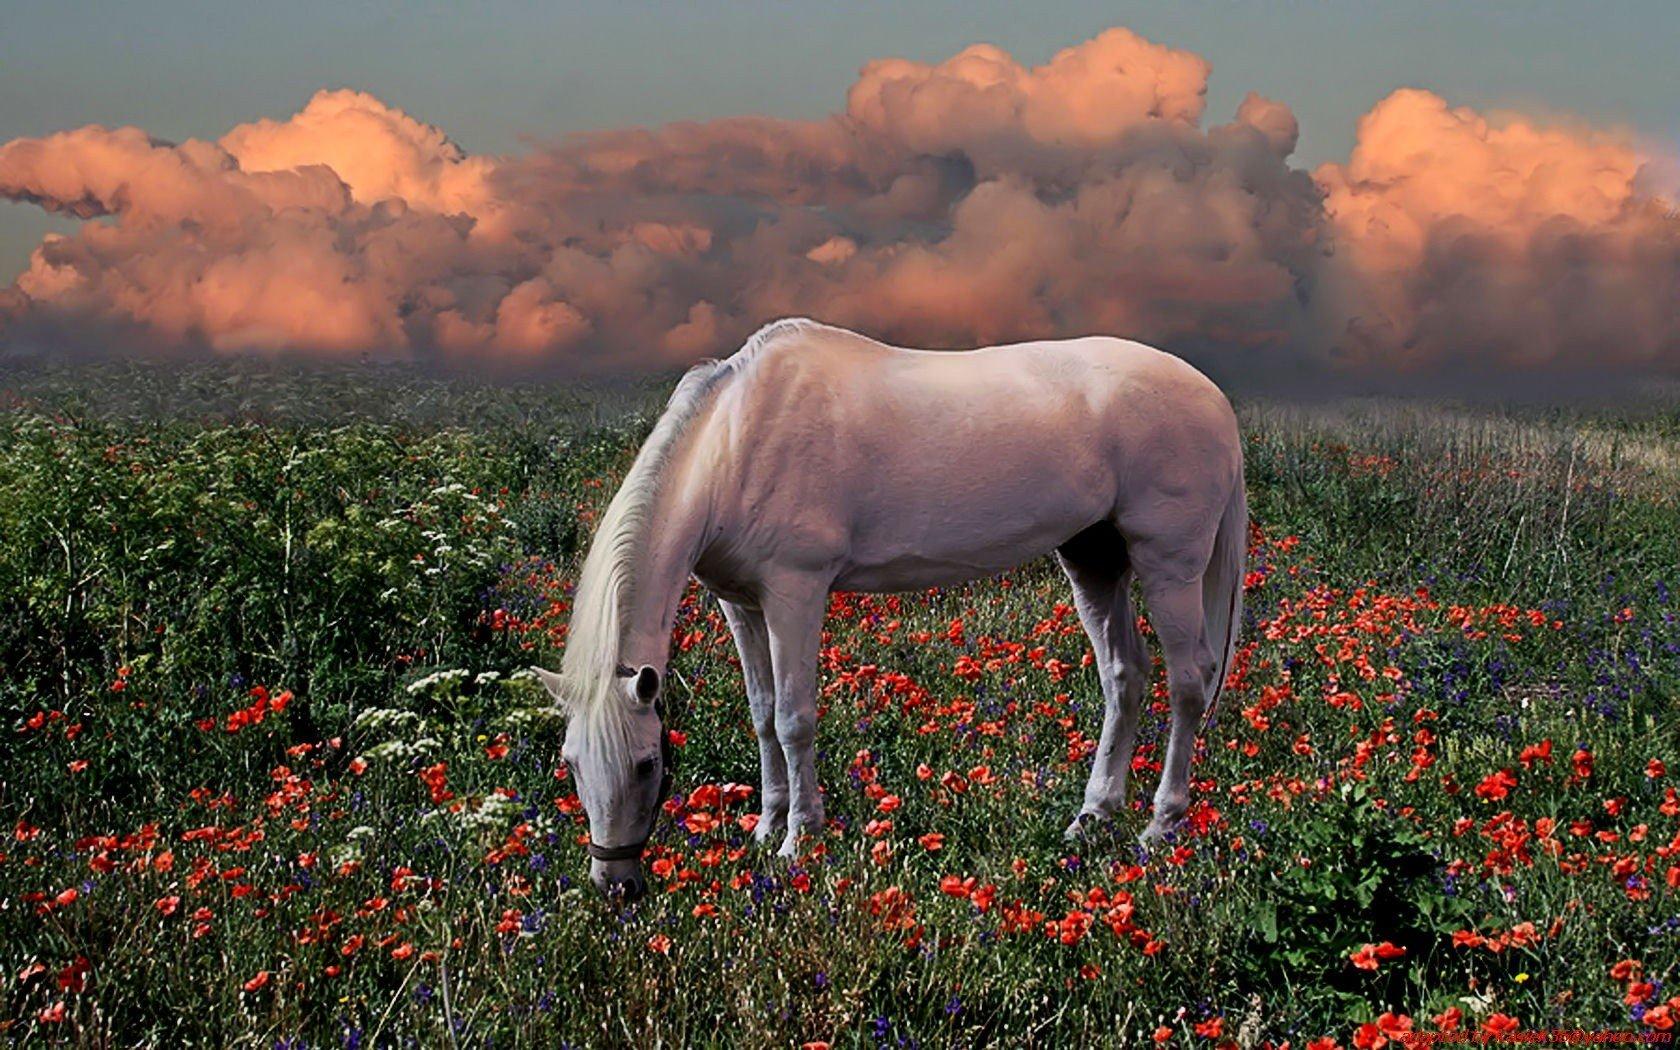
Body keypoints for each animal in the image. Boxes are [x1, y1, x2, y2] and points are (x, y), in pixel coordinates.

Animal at [531, 318, 1246, 901]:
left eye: (647, 764)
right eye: (571, 763)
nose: (614, 882)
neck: (735, 442)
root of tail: (1213, 398)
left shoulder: (795, 591)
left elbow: (793, 719)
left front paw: (800, 841)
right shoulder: (739, 602)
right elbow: (762, 714)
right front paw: (766, 827)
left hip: (1169, 565)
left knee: (1188, 683)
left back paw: (1160, 827)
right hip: (1094, 560)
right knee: (1125, 677)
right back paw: (1092, 816)